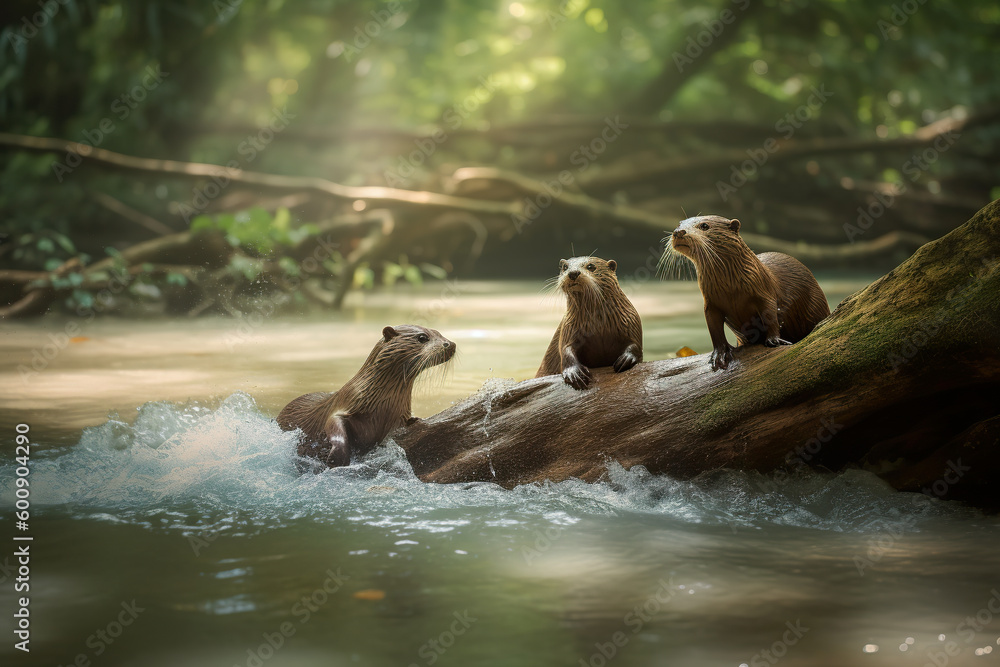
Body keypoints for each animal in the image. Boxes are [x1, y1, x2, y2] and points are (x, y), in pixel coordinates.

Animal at [277, 324, 455, 471]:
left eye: (439, 333)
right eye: (422, 338)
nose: (450, 344)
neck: (384, 403)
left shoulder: (400, 416)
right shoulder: (348, 402)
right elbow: (333, 424)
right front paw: (337, 458)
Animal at [536, 256, 643, 389]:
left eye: (591, 266)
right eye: (565, 267)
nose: (573, 273)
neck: (600, 326)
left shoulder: (631, 320)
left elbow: (636, 344)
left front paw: (626, 359)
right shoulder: (568, 327)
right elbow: (566, 350)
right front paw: (574, 373)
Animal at [666, 215, 829, 371]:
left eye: (704, 226)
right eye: (679, 224)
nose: (678, 232)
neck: (731, 289)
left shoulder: (763, 291)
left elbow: (770, 315)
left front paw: (774, 340)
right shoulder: (710, 304)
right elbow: (714, 330)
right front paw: (720, 354)